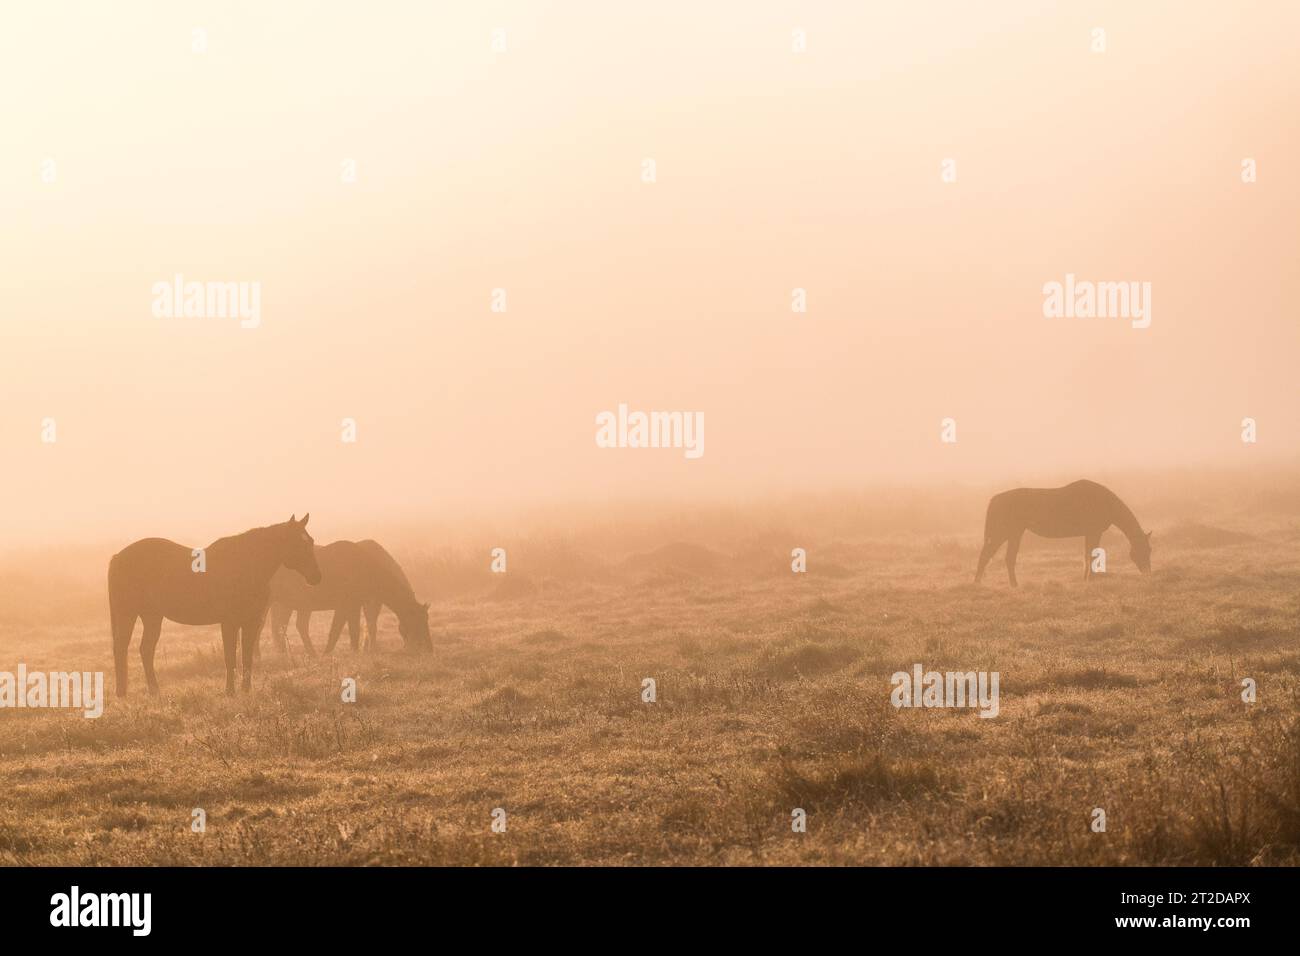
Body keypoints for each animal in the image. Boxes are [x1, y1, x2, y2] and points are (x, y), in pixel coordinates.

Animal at [108, 514, 321, 697]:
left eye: (310, 541)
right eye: (297, 543)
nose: (316, 577)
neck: (246, 567)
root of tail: (118, 556)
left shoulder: (251, 622)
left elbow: (247, 656)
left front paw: (246, 690)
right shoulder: (229, 623)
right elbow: (230, 656)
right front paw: (230, 691)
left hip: (152, 616)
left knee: (145, 649)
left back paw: (154, 690)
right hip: (128, 613)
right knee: (121, 646)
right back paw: (122, 693)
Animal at [263, 539, 432, 655]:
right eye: (418, 621)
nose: (429, 648)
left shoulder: (355, 605)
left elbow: (356, 630)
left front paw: (357, 652)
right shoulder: (345, 605)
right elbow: (338, 631)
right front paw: (331, 653)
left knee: (286, 627)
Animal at [974, 480, 1151, 586]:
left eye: (1149, 550)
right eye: (1144, 550)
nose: (1148, 573)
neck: (1106, 502)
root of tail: (995, 499)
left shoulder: (1089, 533)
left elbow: (1087, 555)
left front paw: (1086, 579)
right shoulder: (1094, 532)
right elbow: (1092, 556)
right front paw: (1091, 579)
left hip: (1013, 533)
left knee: (1004, 557)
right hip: (1004, 532)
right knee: (987, 555)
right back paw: (979, 583)